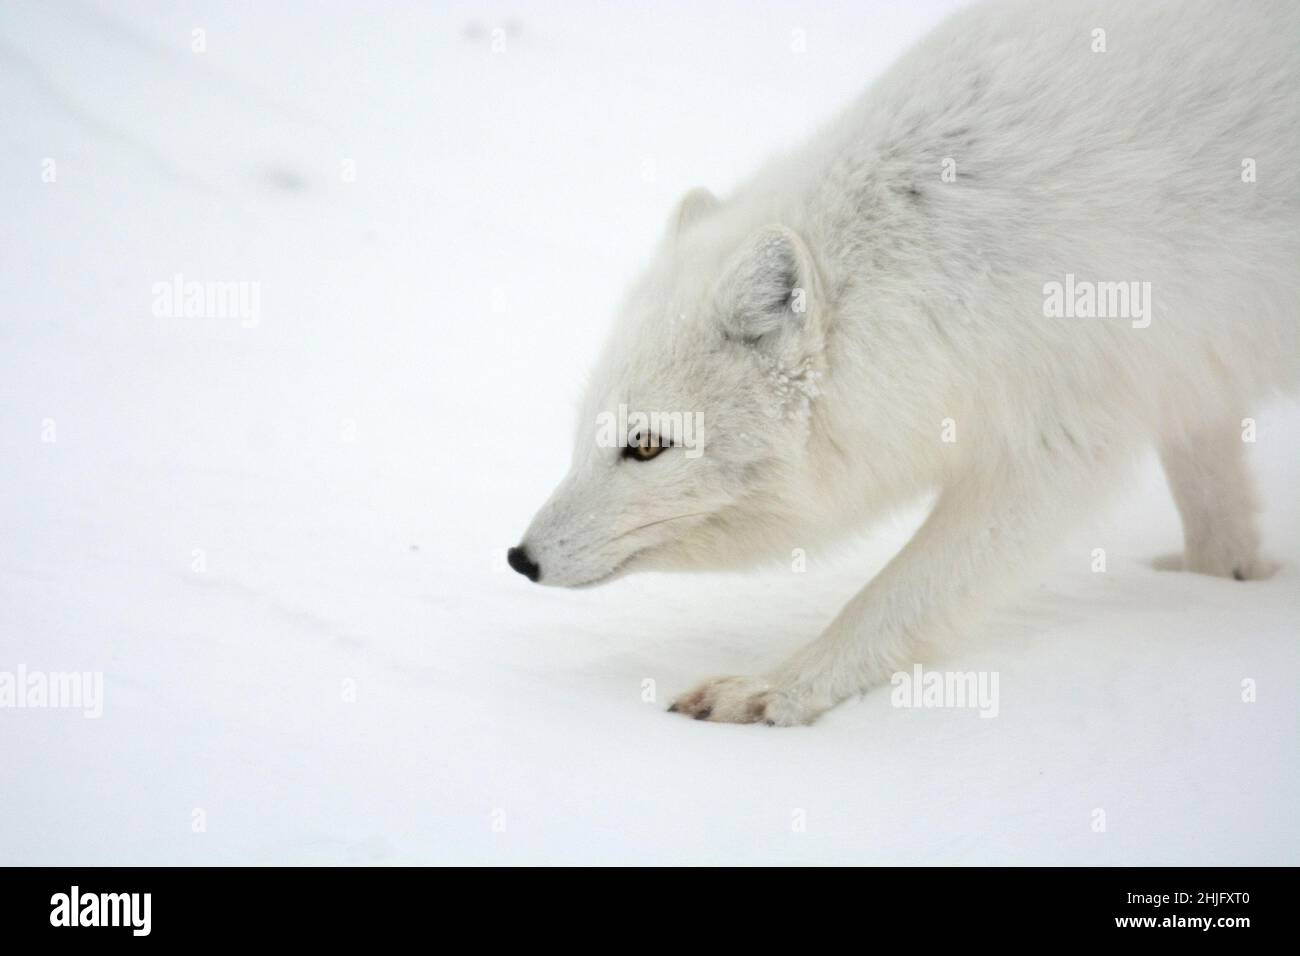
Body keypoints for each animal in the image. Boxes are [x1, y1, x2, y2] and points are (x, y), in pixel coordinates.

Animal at [507, 0, 1300, 725]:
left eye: (646, 445)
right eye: (587, 432)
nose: (521, 558)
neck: (949, 260)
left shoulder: (1064, 441)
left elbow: (898, 597)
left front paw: (781, 688)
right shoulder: (1186, 369)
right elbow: (1215, 509)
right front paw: (1223, 582)